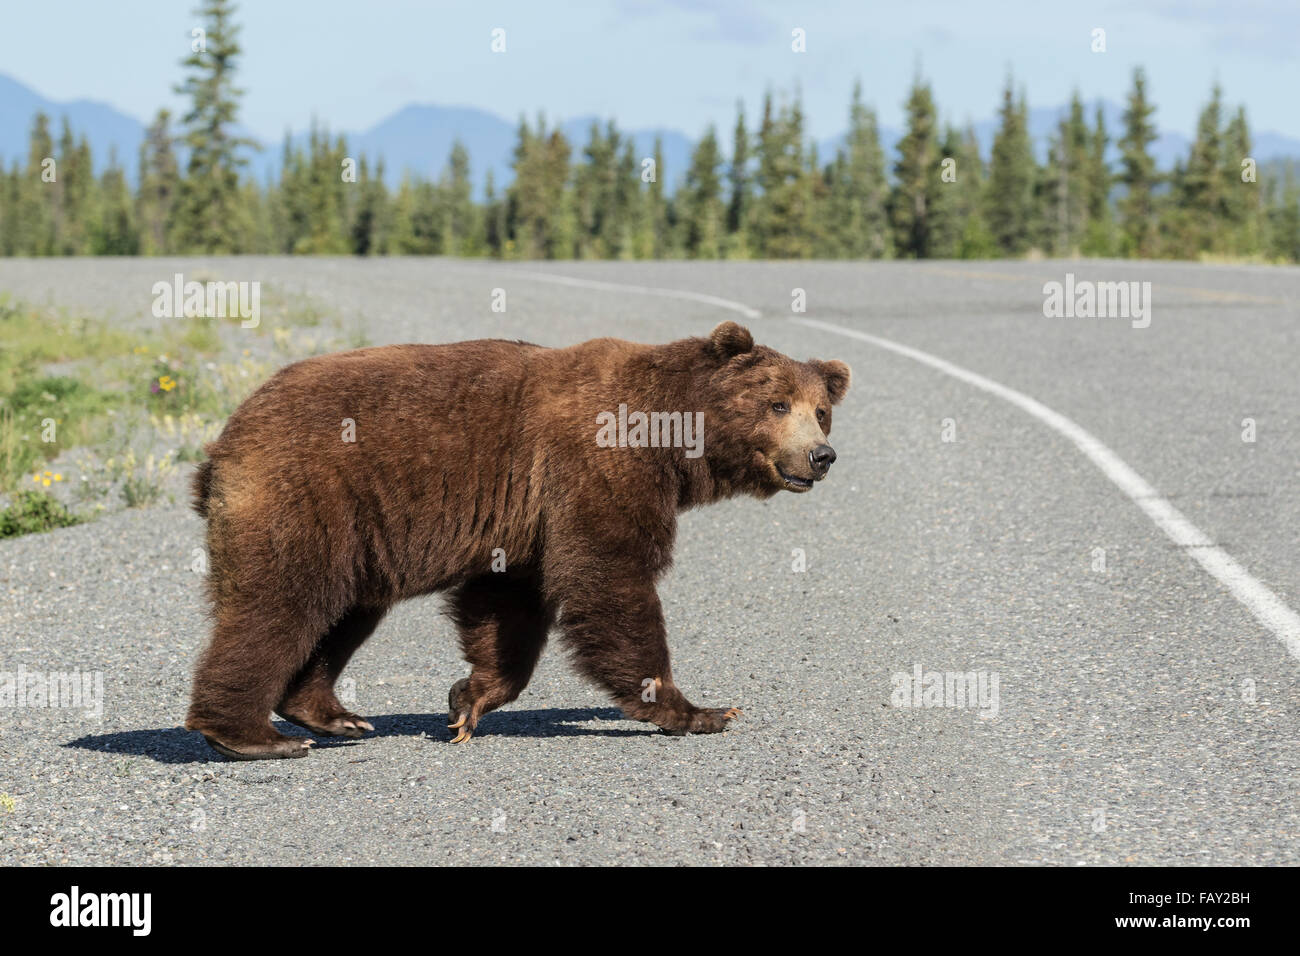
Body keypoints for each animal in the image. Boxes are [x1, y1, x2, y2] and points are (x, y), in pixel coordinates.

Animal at [185, 321, 850, 759]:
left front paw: (467, 700)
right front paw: (697, 710)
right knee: (280, 604)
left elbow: (507, 608)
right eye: (777, 403)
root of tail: (225, 438)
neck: (669, 441)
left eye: (821, 410)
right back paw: (251, 735)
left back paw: (333, 715)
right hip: (309, 497)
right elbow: (611, 579)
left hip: (357, 536)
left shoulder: (526, 518)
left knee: (342, 612)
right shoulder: (593, 468)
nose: (821, 456)